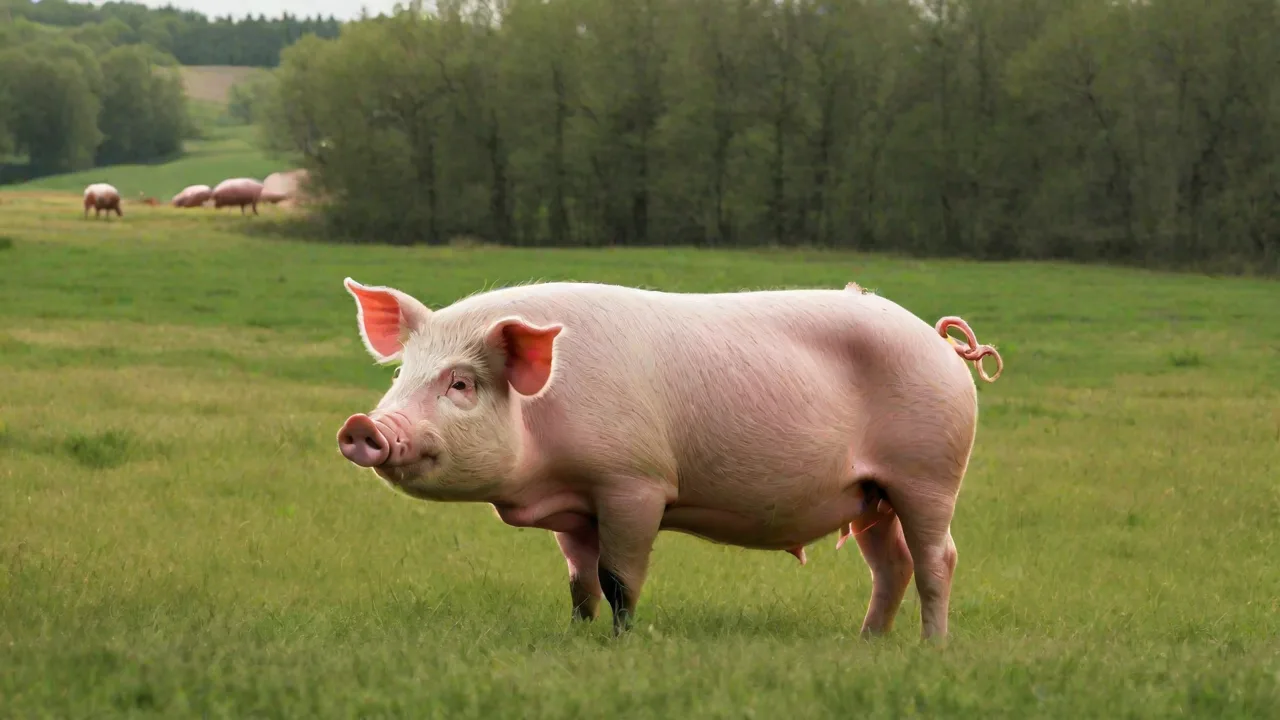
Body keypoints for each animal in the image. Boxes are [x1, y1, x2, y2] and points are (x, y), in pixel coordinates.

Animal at [335, 278, 1005, 640]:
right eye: (400, 374)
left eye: (461, 384)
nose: (363, 426)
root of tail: (941, 344)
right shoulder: (574, 506)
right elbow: (579, 580)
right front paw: (577, 635)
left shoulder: (634, 482)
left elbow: (619, 578)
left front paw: (622, 643)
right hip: (871, 495)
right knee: (891, 565)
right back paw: (867, 643)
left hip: (929, 473)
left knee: (937, 559)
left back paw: (932, 647)